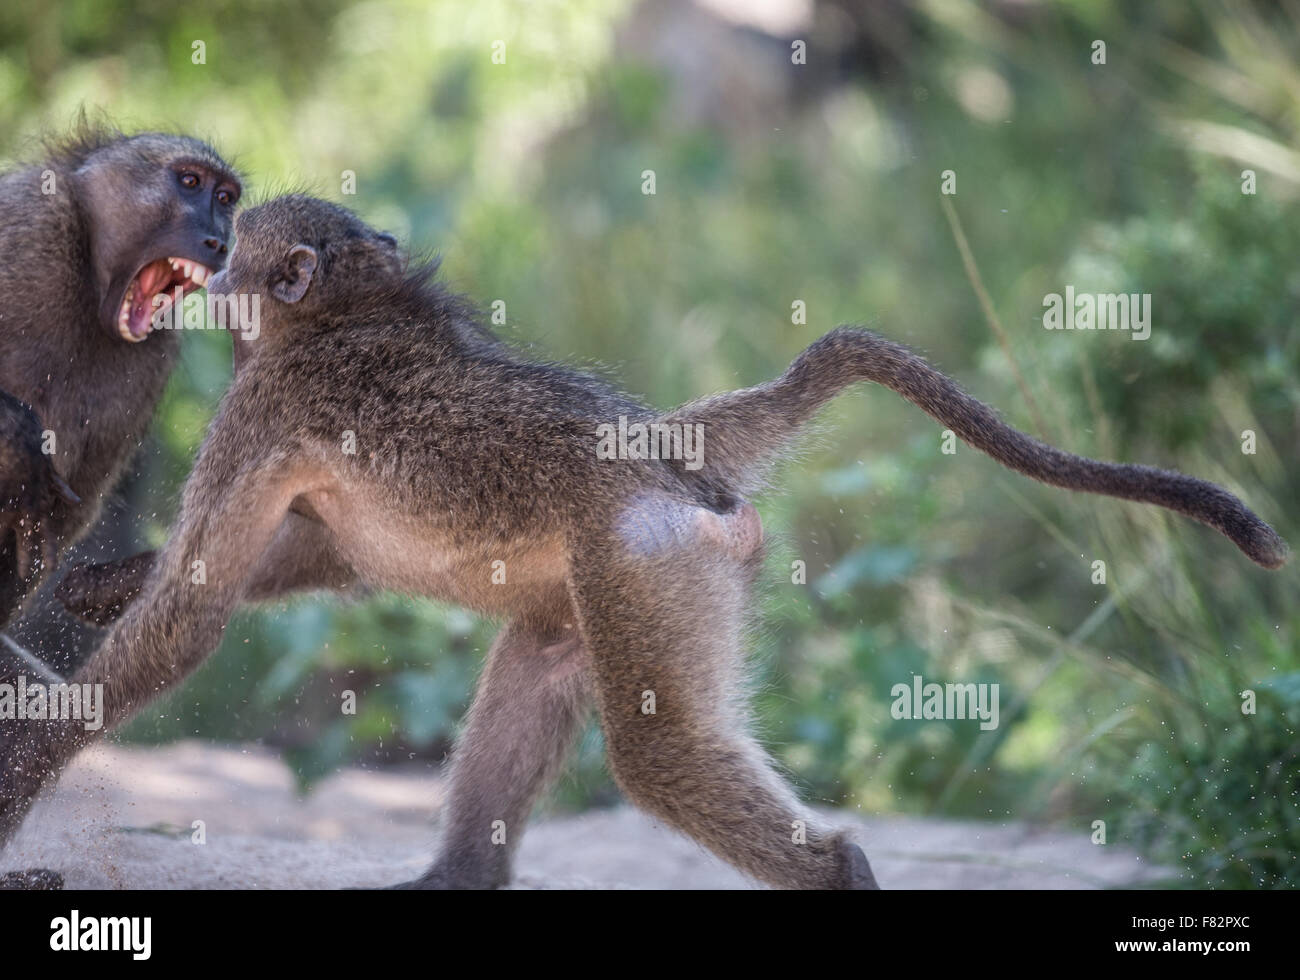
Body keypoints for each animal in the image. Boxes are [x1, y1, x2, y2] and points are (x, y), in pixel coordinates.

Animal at [0, 125, 242, 633]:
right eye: (190, 182)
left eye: (225, 198)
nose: (218, 242)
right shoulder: (30, 223)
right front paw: (21, 441)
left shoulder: (152, 360)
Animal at [2, 194, 1285, 890]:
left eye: (229, 243)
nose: (201, 257)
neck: (350, 309)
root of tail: (670, 457)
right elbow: (316, 556)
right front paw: (102, 583)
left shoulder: (261, 402)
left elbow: (195, 609)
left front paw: (39, 742)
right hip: (619, 575)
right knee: (542, 658)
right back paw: (460, 871)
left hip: (651, 555)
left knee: (656, 755)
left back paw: (834, 866)